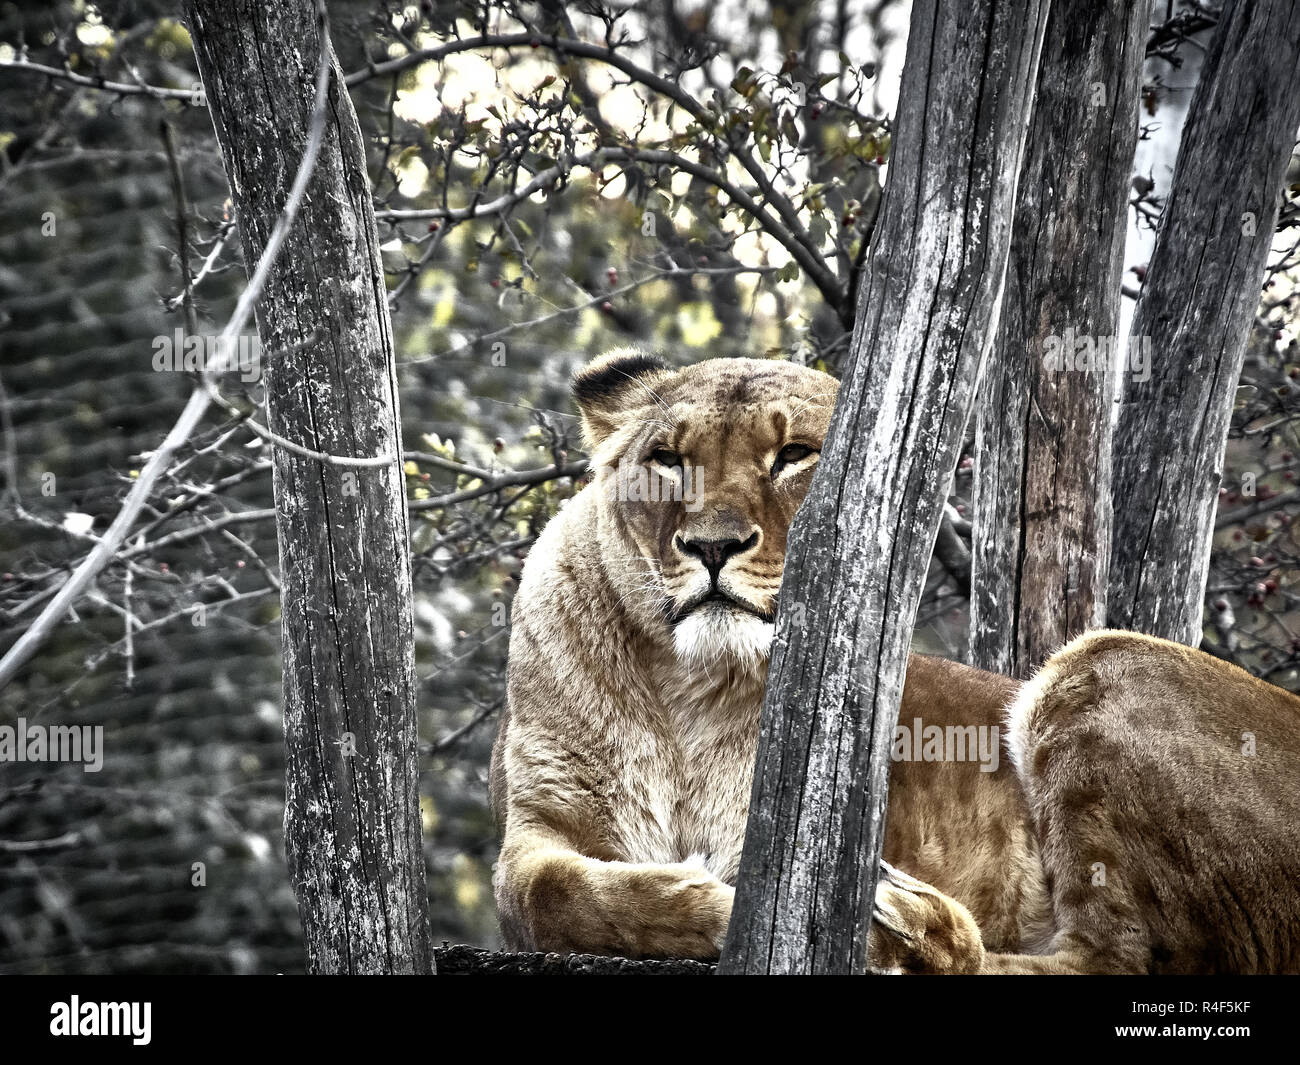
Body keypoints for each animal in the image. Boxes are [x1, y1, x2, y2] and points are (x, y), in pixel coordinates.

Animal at [489, 350, 1300, 973]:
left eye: (794, 455)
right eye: (666, 461)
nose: (712, 545)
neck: (688, 691)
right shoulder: (537, 823)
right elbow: (552, 895)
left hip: (1103, 665)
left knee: (1119, 959)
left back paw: (917, 927)